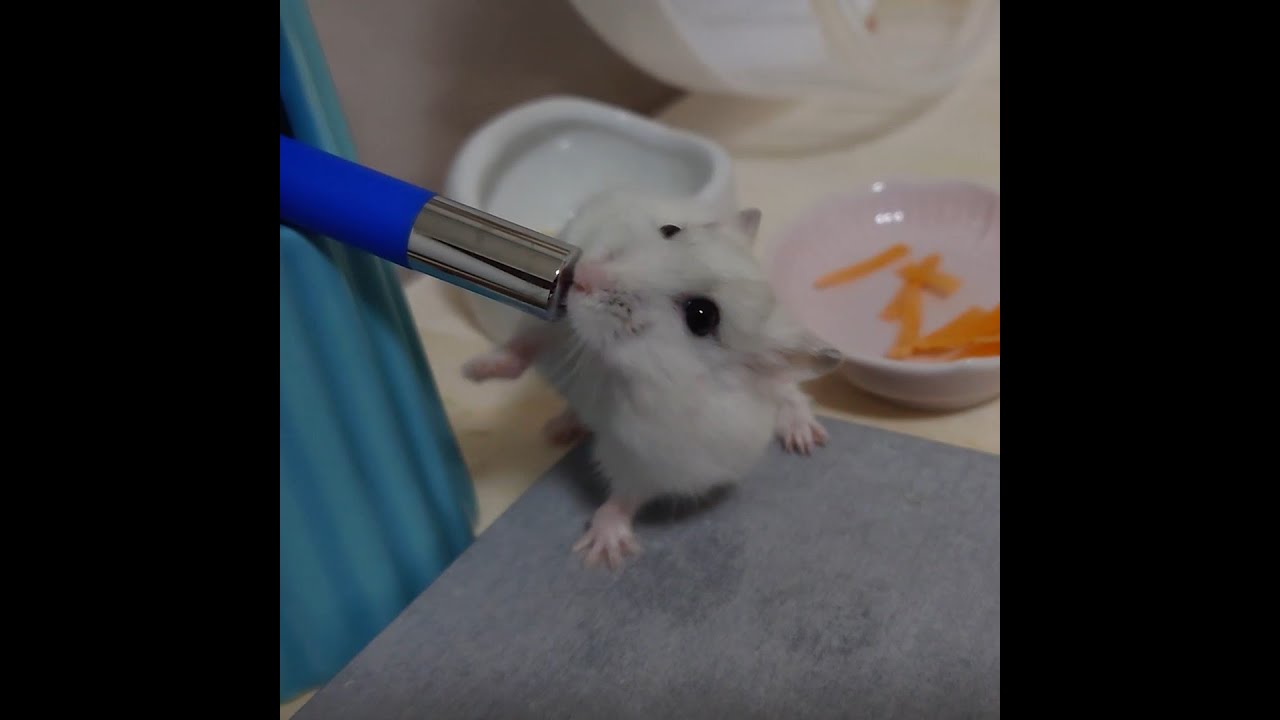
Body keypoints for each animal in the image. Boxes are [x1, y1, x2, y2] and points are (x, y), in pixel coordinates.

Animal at [462, 191, 841, 570]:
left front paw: (600, 554)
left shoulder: (651, 460)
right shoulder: (554, 333)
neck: (609, 365)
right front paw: (471, 371)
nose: (583, 274)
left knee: (790, 392)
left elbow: (626, 496)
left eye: (701, 316)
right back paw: (557, 428)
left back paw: (807, 439)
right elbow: (520, 350)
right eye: (670, 229)